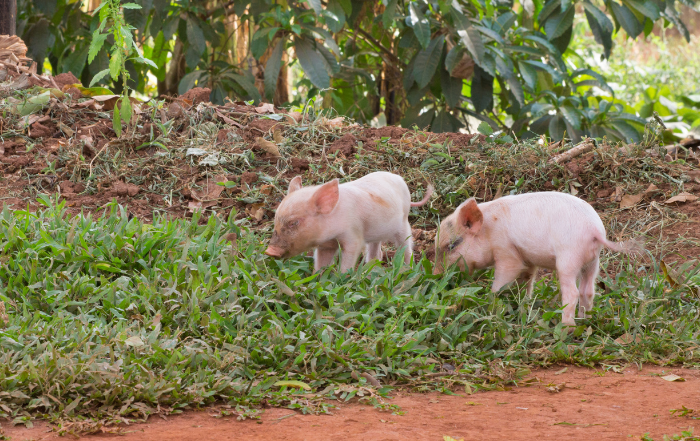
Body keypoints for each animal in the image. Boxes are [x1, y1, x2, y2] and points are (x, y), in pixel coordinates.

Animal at [264, 172, 433, 272]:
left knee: (406, 248)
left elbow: (349, 258)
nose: (269, 251)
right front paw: (318, 278)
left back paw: (407, 269)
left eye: (294, 222)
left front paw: (342, 277)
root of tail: (399, 178)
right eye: (276, 219)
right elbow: (321, 263)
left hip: (404, 223)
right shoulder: (325, 245)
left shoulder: (353, 235)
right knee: (376, 253)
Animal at [434, 192, 642, 326]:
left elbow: (504, 277)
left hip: (568, 258)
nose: (437, 275)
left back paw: (566, 327)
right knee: (588, 290)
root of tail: (595, 231)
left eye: (451, 246)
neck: (488, 230)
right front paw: (523, 303)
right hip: (593, 261)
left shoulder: (506, 251)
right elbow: (527, 280)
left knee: (572, 292)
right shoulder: (528, 260)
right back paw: (585, 320)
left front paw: (490, 300)